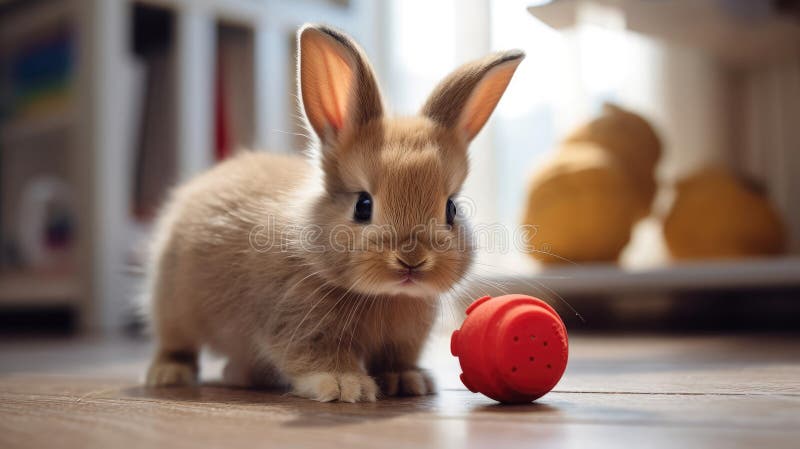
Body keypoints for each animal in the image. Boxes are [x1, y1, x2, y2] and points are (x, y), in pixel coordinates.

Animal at [144, 23, 524, 402]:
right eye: (363, 205)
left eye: (451, 208)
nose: (411, 260)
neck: (384, 295)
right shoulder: (298, 321)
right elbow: (317, 356)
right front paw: (346, 385)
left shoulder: (402, 341)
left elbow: (397, 359)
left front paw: (408, 380)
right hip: (174, 305)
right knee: (175, 343)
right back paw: (167, 375)